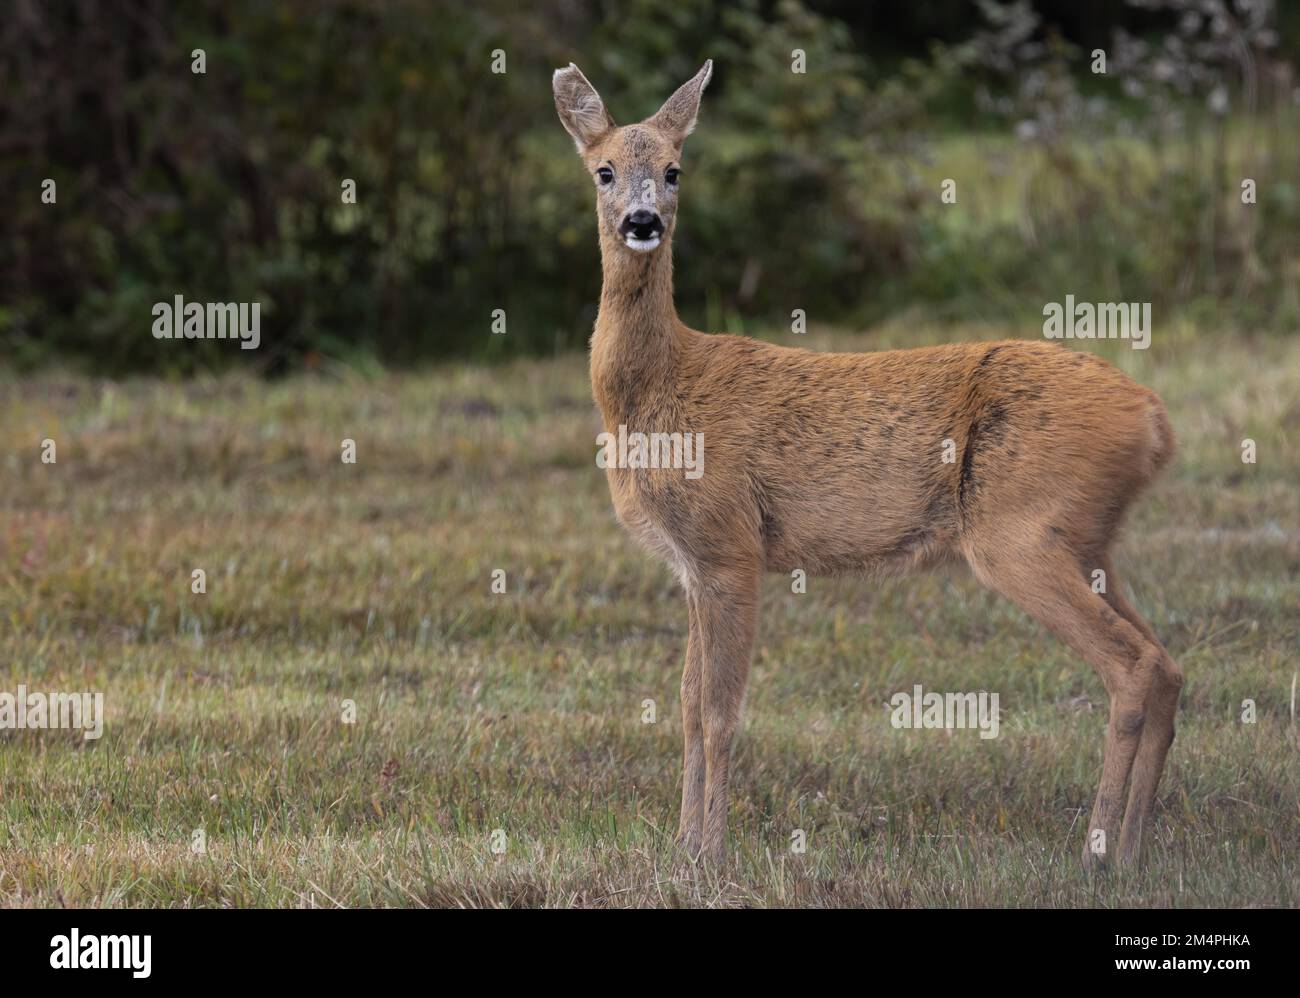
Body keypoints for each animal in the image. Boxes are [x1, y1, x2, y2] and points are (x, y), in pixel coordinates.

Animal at [552, 60, 1183, 869]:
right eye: (603, 170)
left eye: (673, 170)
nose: (642, 222)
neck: (656, 392)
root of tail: (1154, 420)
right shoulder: (692, 563)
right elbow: (689, 703)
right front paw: (681, 845)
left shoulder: (730, 544)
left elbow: (721, 709)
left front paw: (710, 854)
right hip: (1088, 539)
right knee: (1166, 663)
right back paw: (1133, 848)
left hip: (1018, 532)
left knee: (1133, 666)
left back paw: (1098, 850)